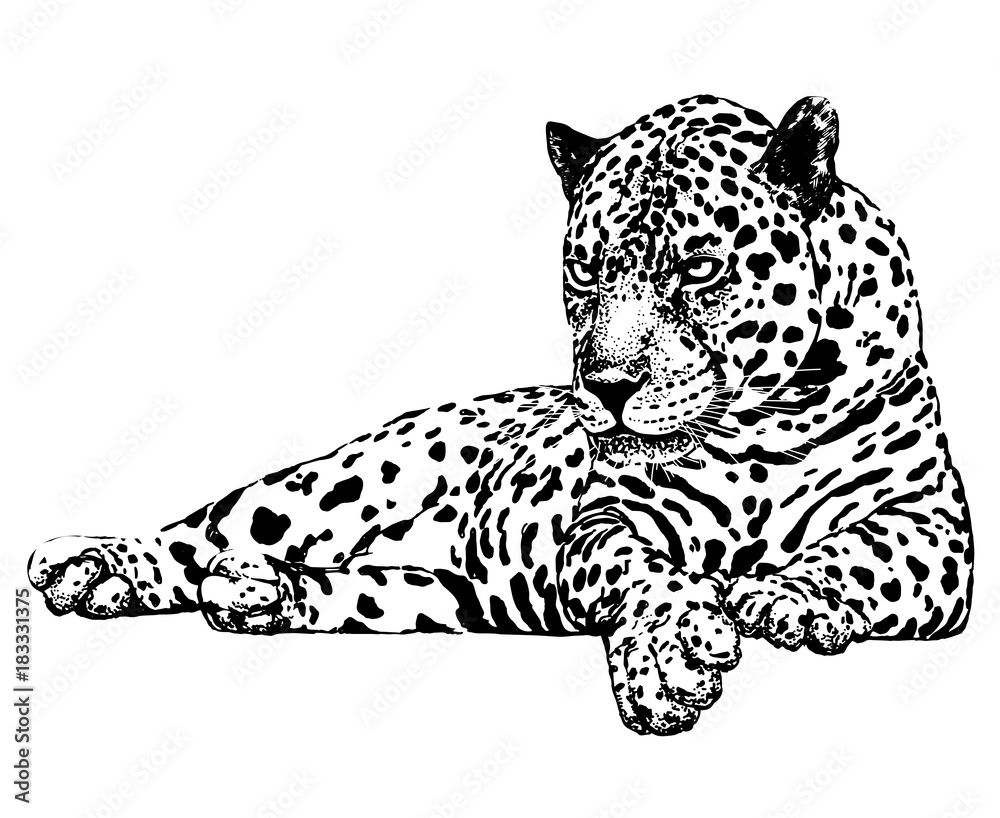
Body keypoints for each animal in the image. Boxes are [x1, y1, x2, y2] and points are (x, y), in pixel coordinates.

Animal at [29, 94, 974, 737]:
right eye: (585, 269)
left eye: (699, 269)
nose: (605, 386)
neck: (755, 432)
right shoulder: (605, 519)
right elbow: (641, 573)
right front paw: (667, 655)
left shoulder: (934, 527)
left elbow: (861, 552)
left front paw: (786, 598)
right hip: (332, 485)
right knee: (203, 534)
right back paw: (93, 566)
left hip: (438, 597)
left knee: (334, 586)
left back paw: (260, 593)